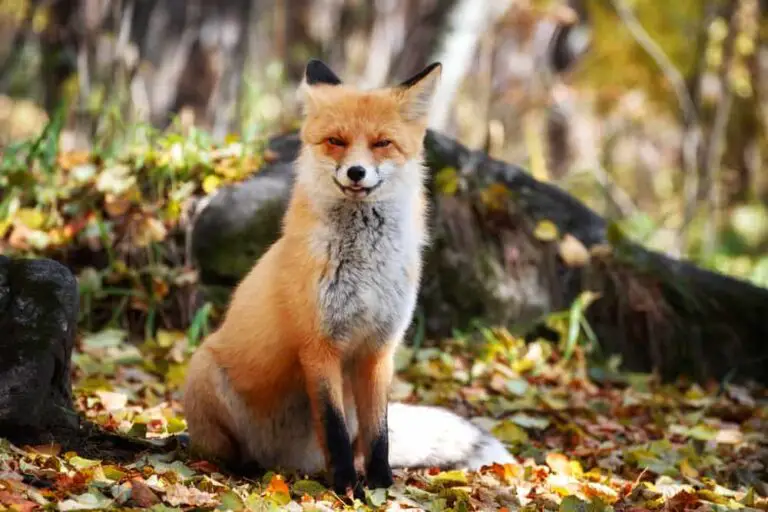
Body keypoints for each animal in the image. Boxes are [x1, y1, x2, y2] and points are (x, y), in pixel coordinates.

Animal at [182, 59, 514, 500]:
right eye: (336, 141)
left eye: (382, 143)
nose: (357, 172)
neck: (365, 269)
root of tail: (281, 461)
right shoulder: (319, 347)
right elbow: (335, 430)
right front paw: (344, 489)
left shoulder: (378, 350)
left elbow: (380, 436)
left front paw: (380, 487)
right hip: (204, 371)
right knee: (223, 452)